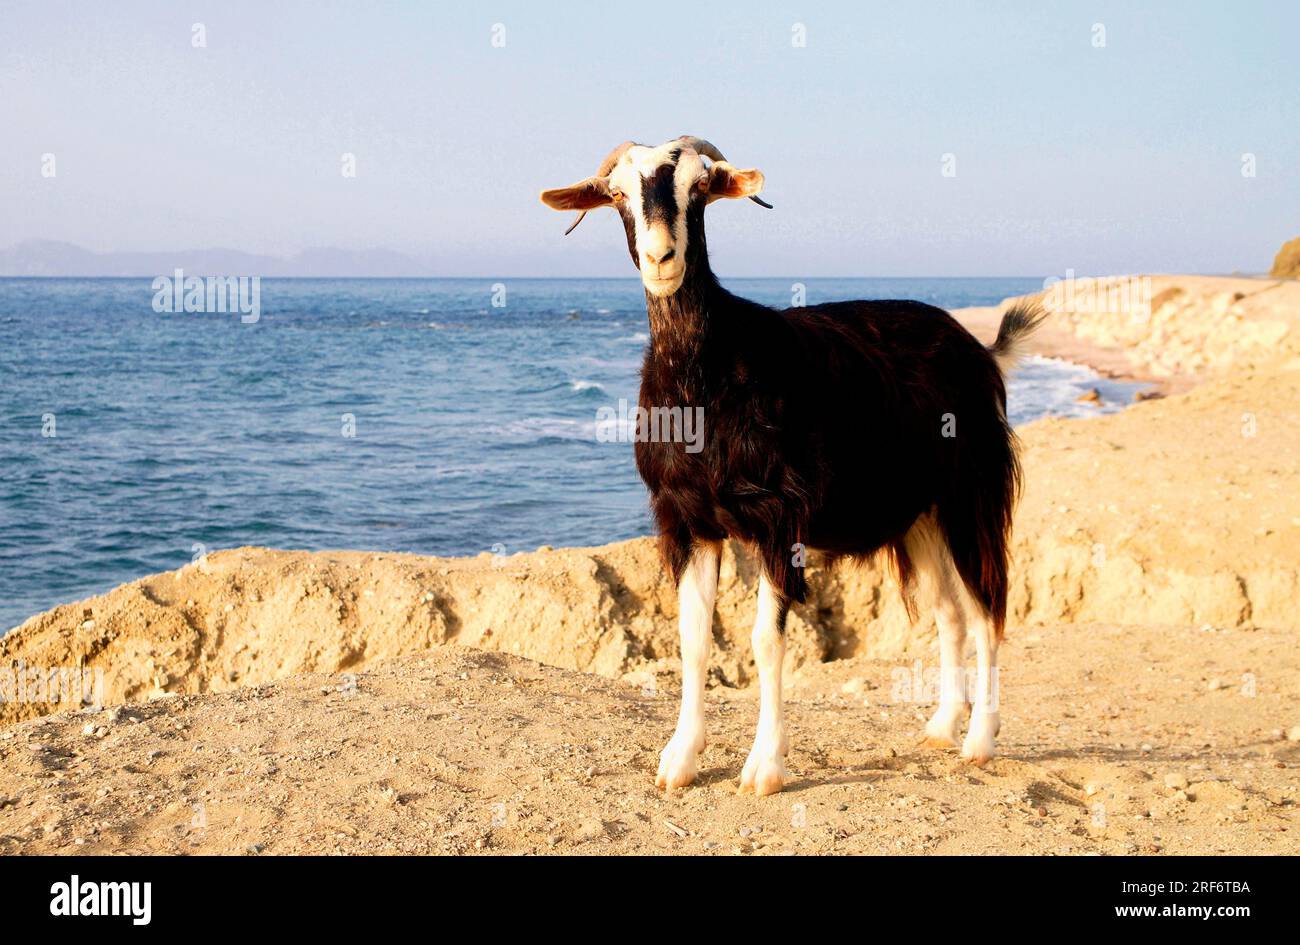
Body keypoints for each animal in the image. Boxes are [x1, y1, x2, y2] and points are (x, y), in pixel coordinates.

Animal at [541, 136, 1044, 796]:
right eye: (618, 194)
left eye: (700, 187)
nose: (661, 257)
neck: (708, 373)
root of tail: (982, 352)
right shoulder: (687, 519)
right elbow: (693, 636)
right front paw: (679, 759)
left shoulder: (780, 516)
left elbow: (765, 640)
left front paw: (765, 767)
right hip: (921, 518)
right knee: (950, 614)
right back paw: (940, 727)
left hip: (970, 495)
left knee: (987, 609)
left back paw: (980, 740)